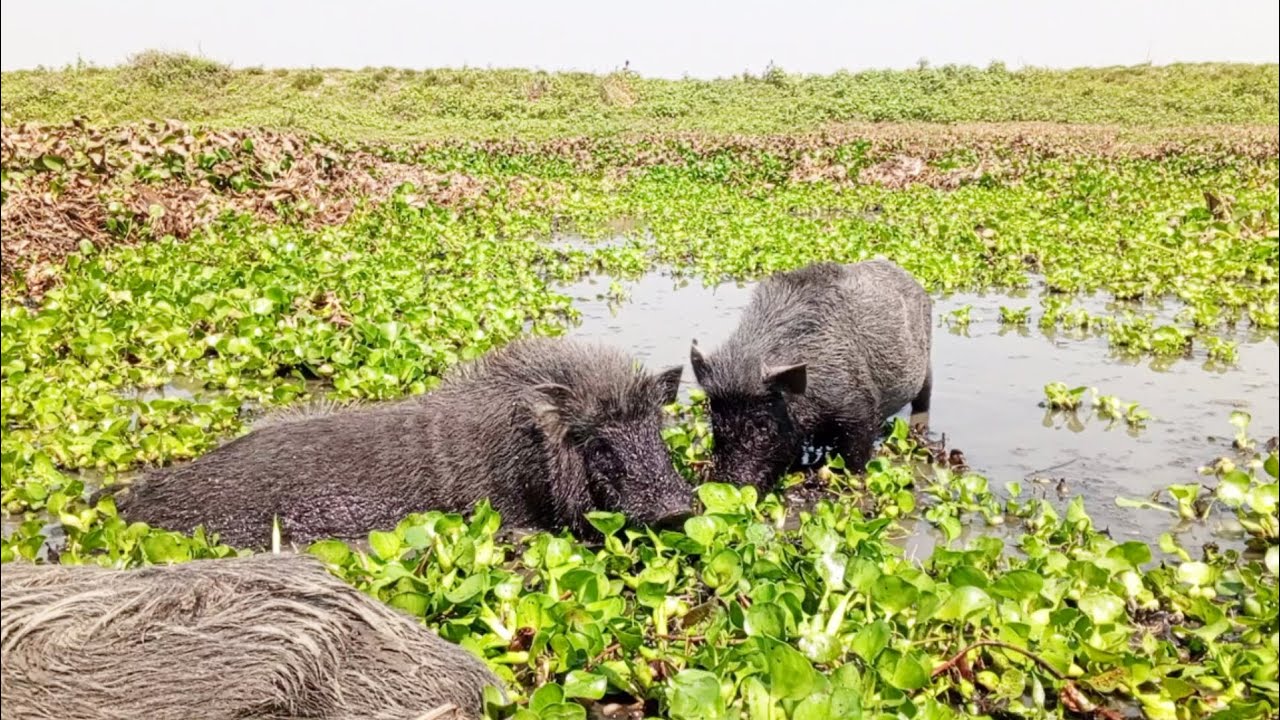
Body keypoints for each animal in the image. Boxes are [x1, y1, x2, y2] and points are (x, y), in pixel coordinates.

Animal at [689, 259, 932, 490]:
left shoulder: (860, 408)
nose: (725, 484)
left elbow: (856, 454)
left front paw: (850, 478)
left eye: (763, 425)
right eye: (716, 422)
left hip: (928, 358)